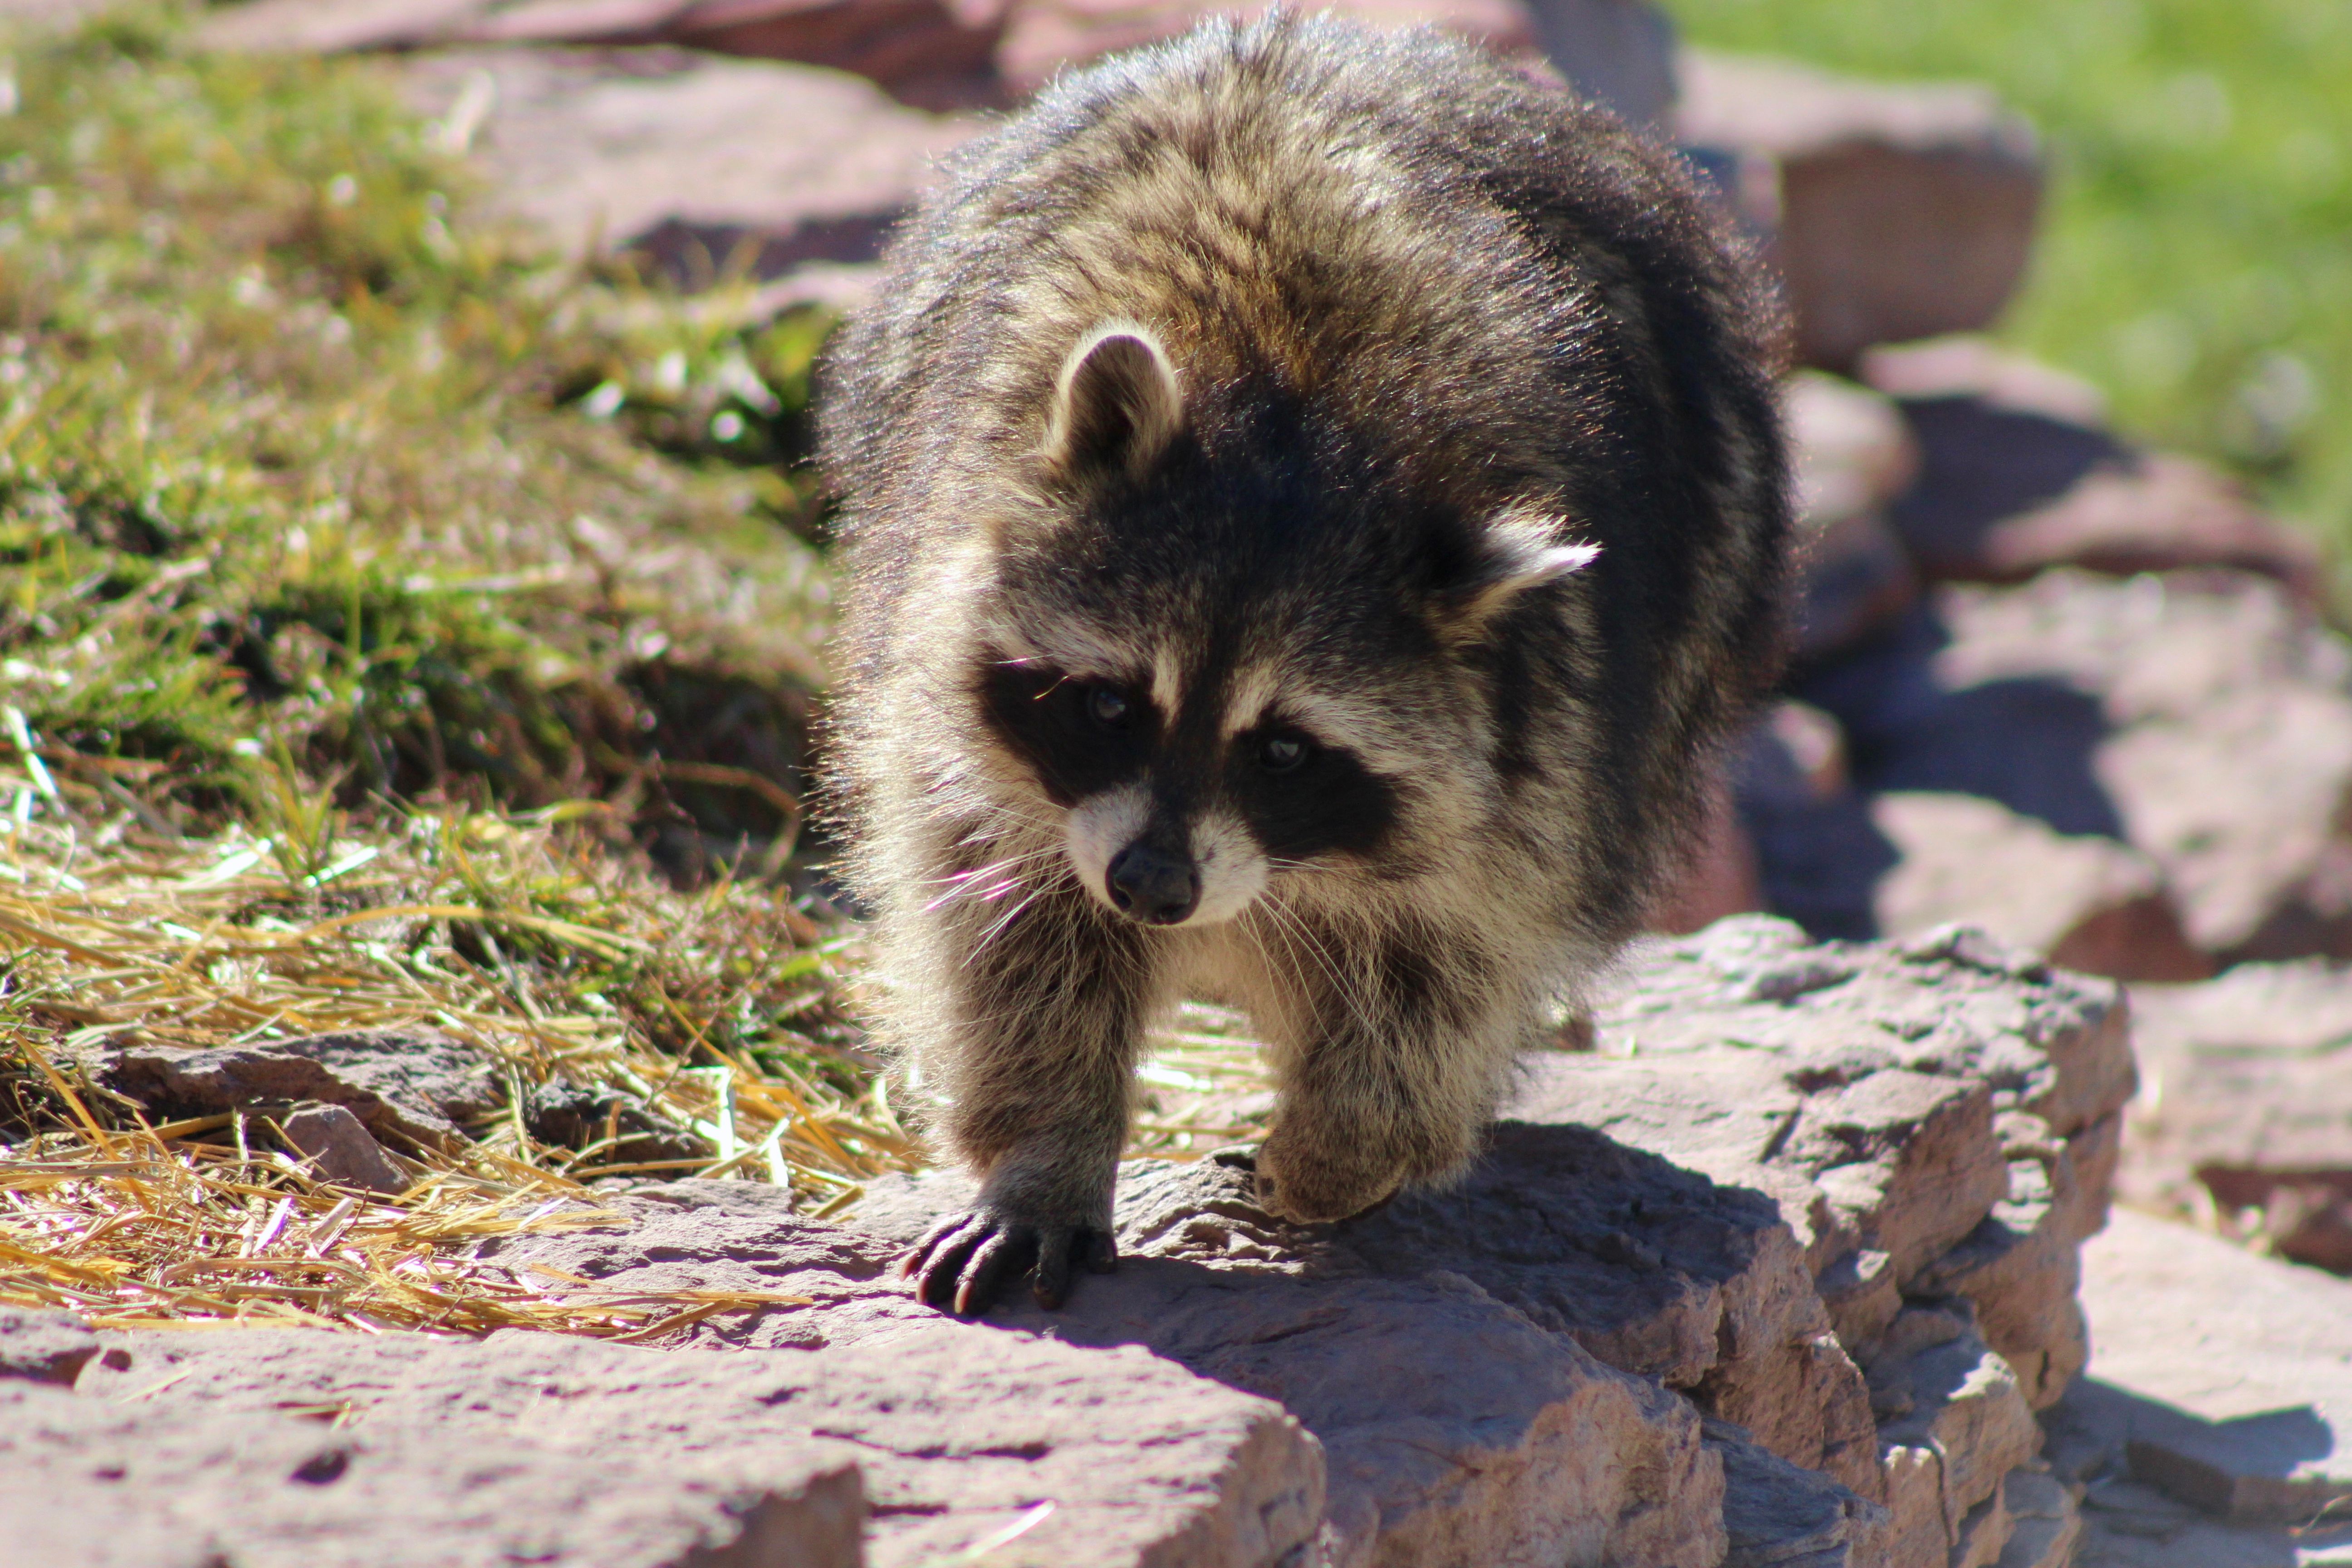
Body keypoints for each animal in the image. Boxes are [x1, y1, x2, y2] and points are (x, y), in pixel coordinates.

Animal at [820, 12, 1790, 1315]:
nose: (1153, 887)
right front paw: (1046, 1152)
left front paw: (1348, 1149)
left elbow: (1451, 957)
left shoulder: (1552, 715)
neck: (1290, 391)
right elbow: (1007, 927)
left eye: (1283, 749)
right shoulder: (960, 702)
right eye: (1109, 704)